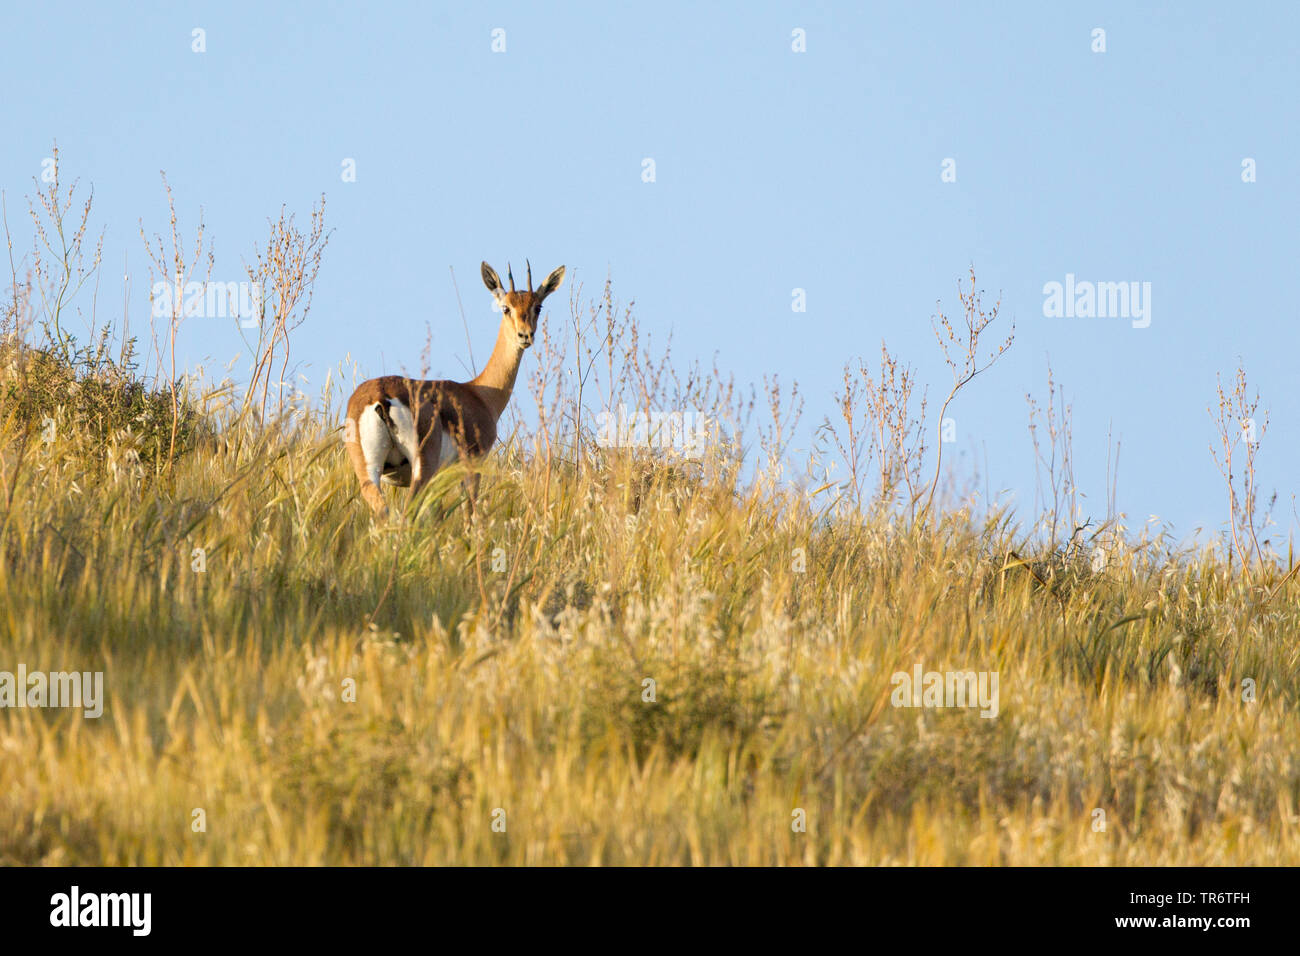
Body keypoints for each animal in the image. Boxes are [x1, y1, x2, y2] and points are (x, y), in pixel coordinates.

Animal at [344, 260, 565, 518]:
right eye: (506, 308)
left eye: (537, 306)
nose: (525, 335)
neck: (479, 394)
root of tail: (381, 397)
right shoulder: (472, 468)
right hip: (422, 469)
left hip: (370, 473)